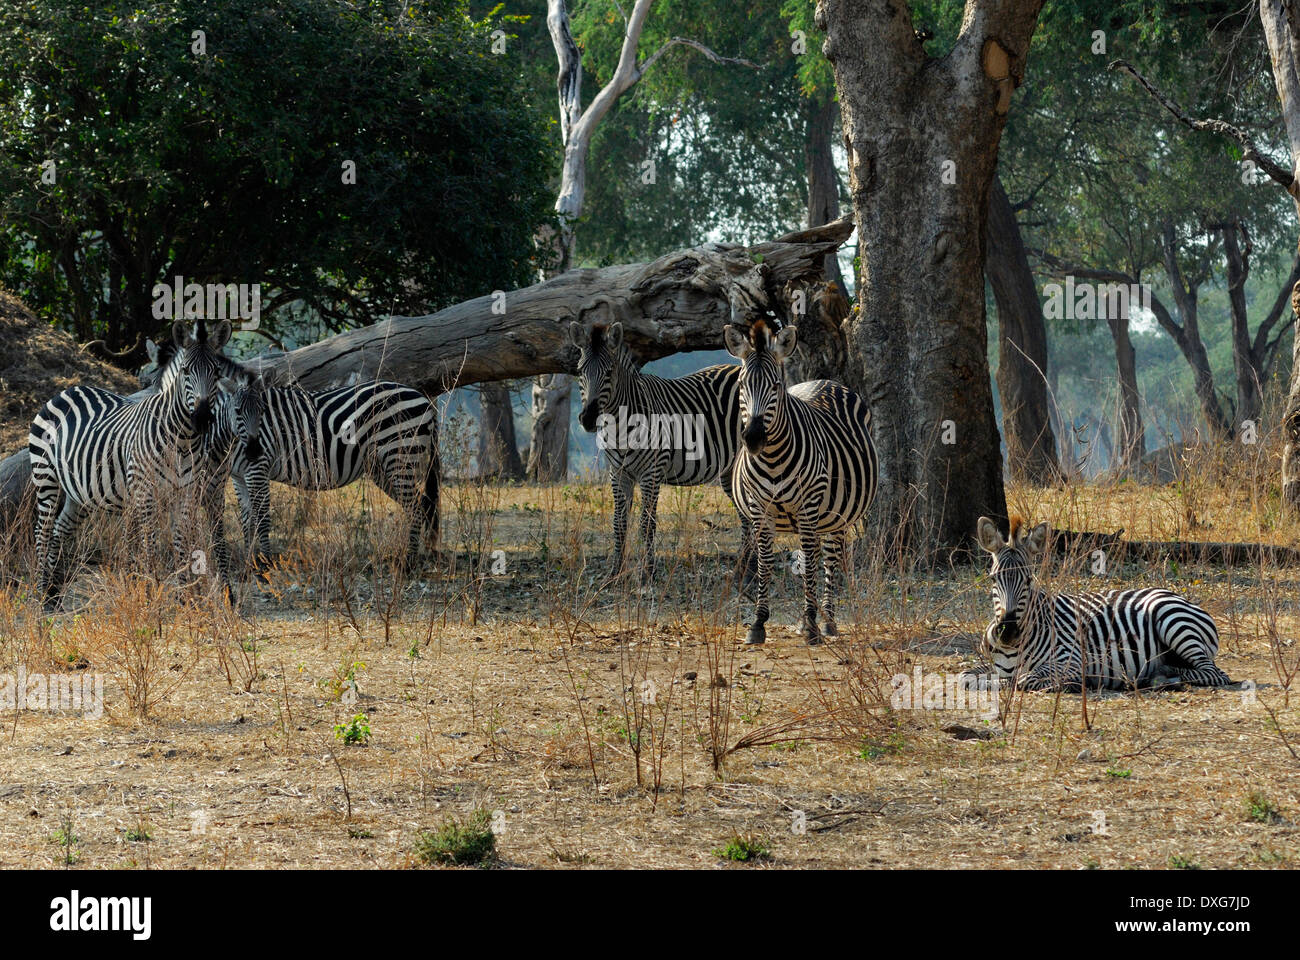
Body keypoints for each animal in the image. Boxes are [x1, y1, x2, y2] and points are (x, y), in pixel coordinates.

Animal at [29, 320, 244, 605]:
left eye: (217, 372)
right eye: (186, 371)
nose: (201, 418)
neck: (181, 440)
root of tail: (68, 389)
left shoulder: (186, 493)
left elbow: (182, 544)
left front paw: (186, 599)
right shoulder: (145, 493)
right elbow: (149, 544)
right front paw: (152, 595)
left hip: (80, 493)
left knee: (59, 531)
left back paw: (52, 596)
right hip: (46, 478)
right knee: (42, 532)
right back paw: (41, 594)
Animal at [142, 346, 440, 570]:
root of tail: (425, 400)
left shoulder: (258, 467)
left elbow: (262, 516)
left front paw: (265, 563)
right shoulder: (239, 475)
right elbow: (247, 519)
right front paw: (250, 562)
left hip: (400, 454)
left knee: (416, 507)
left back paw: (408, 563)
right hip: (383, 466)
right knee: (423, 505)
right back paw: (421, 555)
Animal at [568, 320, 752, 583]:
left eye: (609, 372)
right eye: (579, 371)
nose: (588, 419)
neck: (619, 426)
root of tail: (740, 367)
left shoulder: (651, 473)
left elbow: (647, 524)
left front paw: (647, 573)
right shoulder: (618, 473)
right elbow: (619, 523)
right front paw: (615, 573)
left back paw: (748, 570)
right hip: (730, 469)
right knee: (747, 514)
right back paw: (744, 570)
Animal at [723, 319, 877, 645]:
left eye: (775, 386)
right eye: (742, 386)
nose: (753, 439)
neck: (772, 459)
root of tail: (824, 380)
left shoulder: (808, 506)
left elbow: (811, 563)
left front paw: (810, 624)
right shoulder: (759, 510)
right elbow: (765, 561)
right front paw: (758, 623)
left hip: (835, 514)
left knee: (828, 558)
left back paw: (827, 620)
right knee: (815, 555)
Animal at [967, 516, 1233, 691]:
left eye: (1029, 580)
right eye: (993, 579)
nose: (1007, 631)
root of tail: (1180, 597)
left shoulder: (1072, 659)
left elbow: (1023, 679)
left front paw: (1066, 684)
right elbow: (968, 675)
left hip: (1173, 621)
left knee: (1215, 673)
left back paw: (1157, 676)